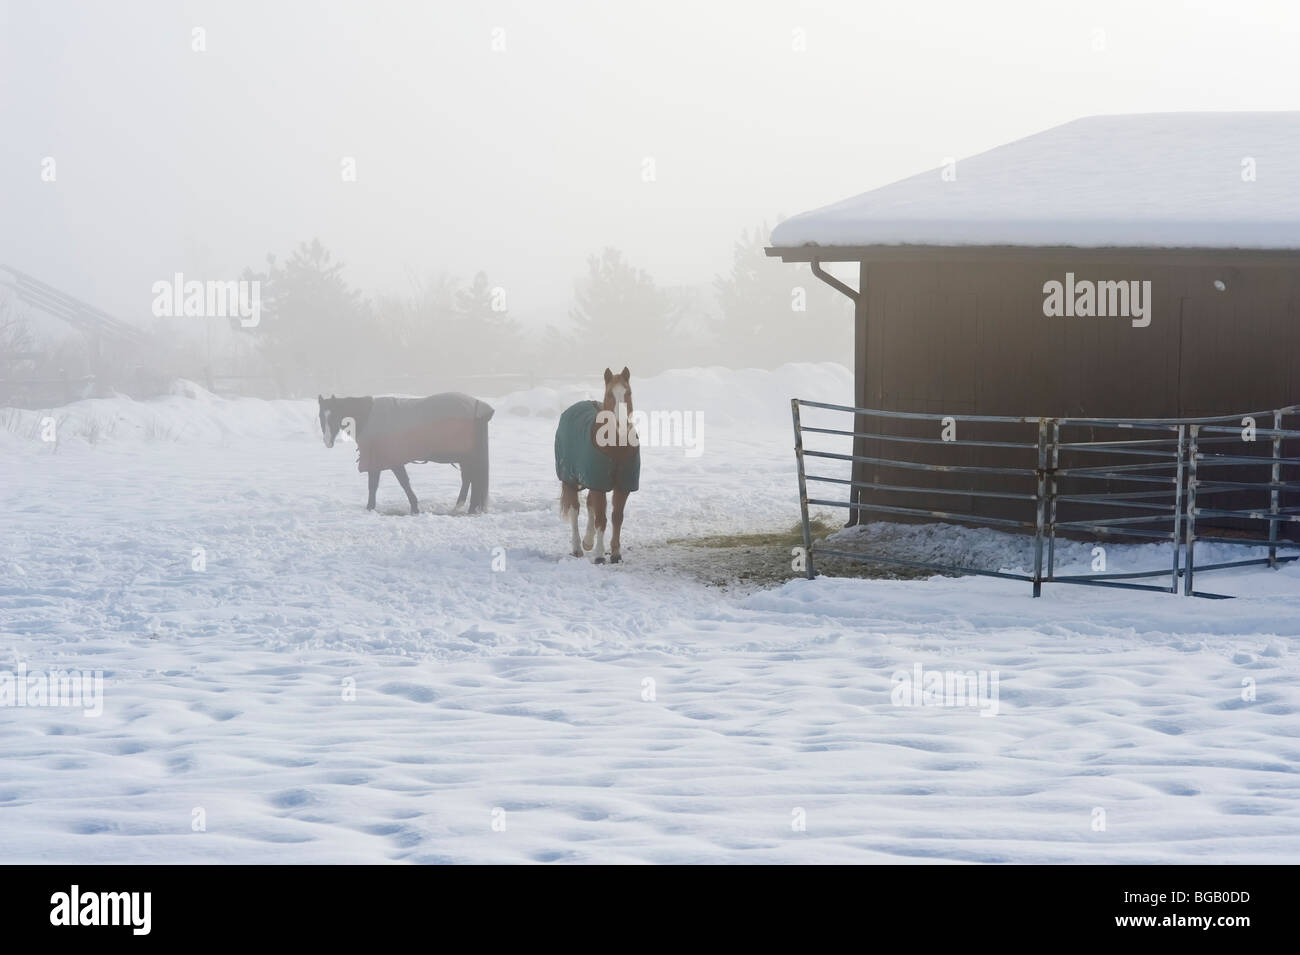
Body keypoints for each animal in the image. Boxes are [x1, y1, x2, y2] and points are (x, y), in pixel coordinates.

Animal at [318, 393, 494, 514]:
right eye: (321, 416)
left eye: (334, 415)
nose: (327, 441)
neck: (368, 416)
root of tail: (481, 409)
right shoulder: (383, 460)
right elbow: (387, 484)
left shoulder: (385, 460)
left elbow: (395, 483)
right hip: (466, 457)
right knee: (469, 478)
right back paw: (463, 506)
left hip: (468, 456)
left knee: (472, 478)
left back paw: (469, 508)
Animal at [554, 367, 640, 563]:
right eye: (609, 394)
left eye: (628, 393)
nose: (621, 424)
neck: (616, 448)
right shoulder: (598, 484)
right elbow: (602, 519)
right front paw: (600, 555)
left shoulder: (622, 486)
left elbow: (617, 518)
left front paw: (615, 554)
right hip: (570, 480)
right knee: (575, 510)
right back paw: (578, 548)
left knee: (590, 505)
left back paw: (588, 542)